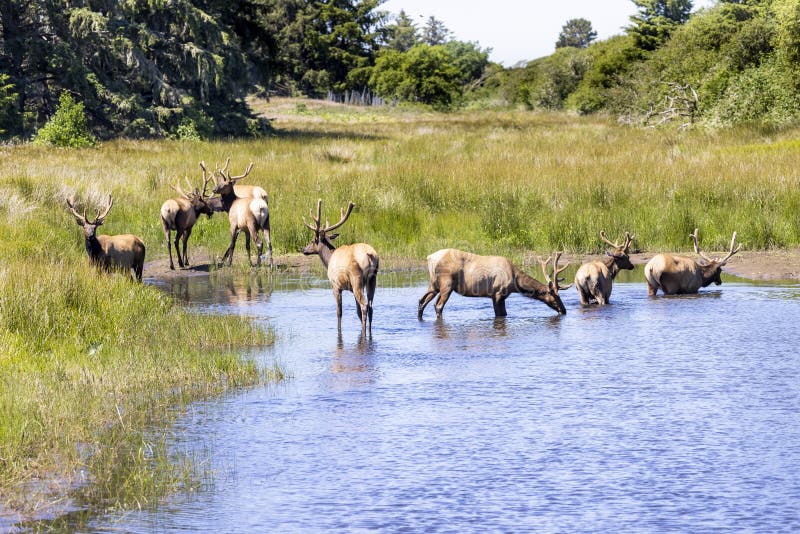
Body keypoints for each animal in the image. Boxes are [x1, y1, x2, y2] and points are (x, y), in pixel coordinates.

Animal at [302, 199, 379, 333]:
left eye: (312, 240)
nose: (303, 250)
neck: (328, 259)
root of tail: (370, 255)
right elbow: (357, 311)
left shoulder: (335, 285)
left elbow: (339, 312)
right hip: (372, 279)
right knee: (370, 306)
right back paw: (369, 330)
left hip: (356, 279)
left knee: (364, 305)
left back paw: (364, 332)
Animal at [418, 249, 571, 318]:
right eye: (555, 297)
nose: (564, 310)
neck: (515, 283)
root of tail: (430, 258)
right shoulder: (497, 293)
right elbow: (501, 314)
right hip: (446, 284)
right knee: (438, 305)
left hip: (434, 284)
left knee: (422, 301)